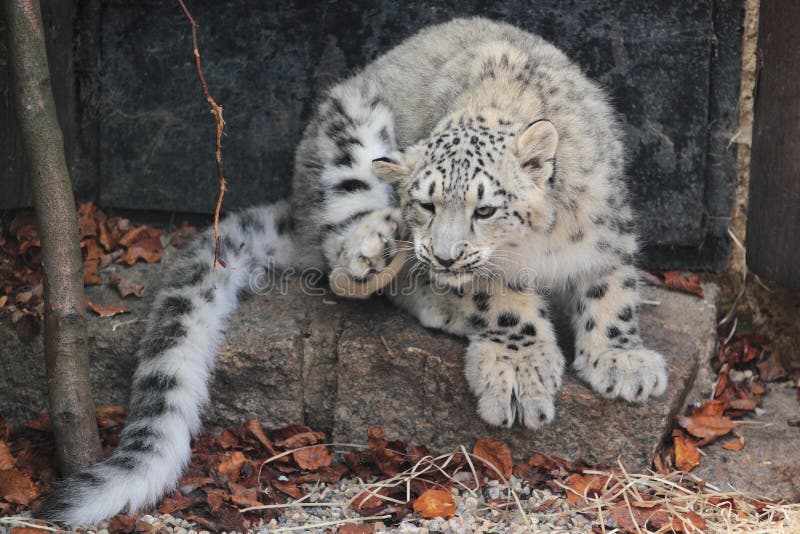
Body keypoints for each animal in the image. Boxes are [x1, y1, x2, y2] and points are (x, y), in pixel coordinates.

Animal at [39, 17, 667, 525]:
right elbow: (502, 298)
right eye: (426, 204)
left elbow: (613, 285)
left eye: (485, 209)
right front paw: (519, 369)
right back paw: (385, 256)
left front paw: (622, 360)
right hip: (348, 135)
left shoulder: (609, 227)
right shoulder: (486, 270)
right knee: (345, 263)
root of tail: (295, 197)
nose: (443, 254)